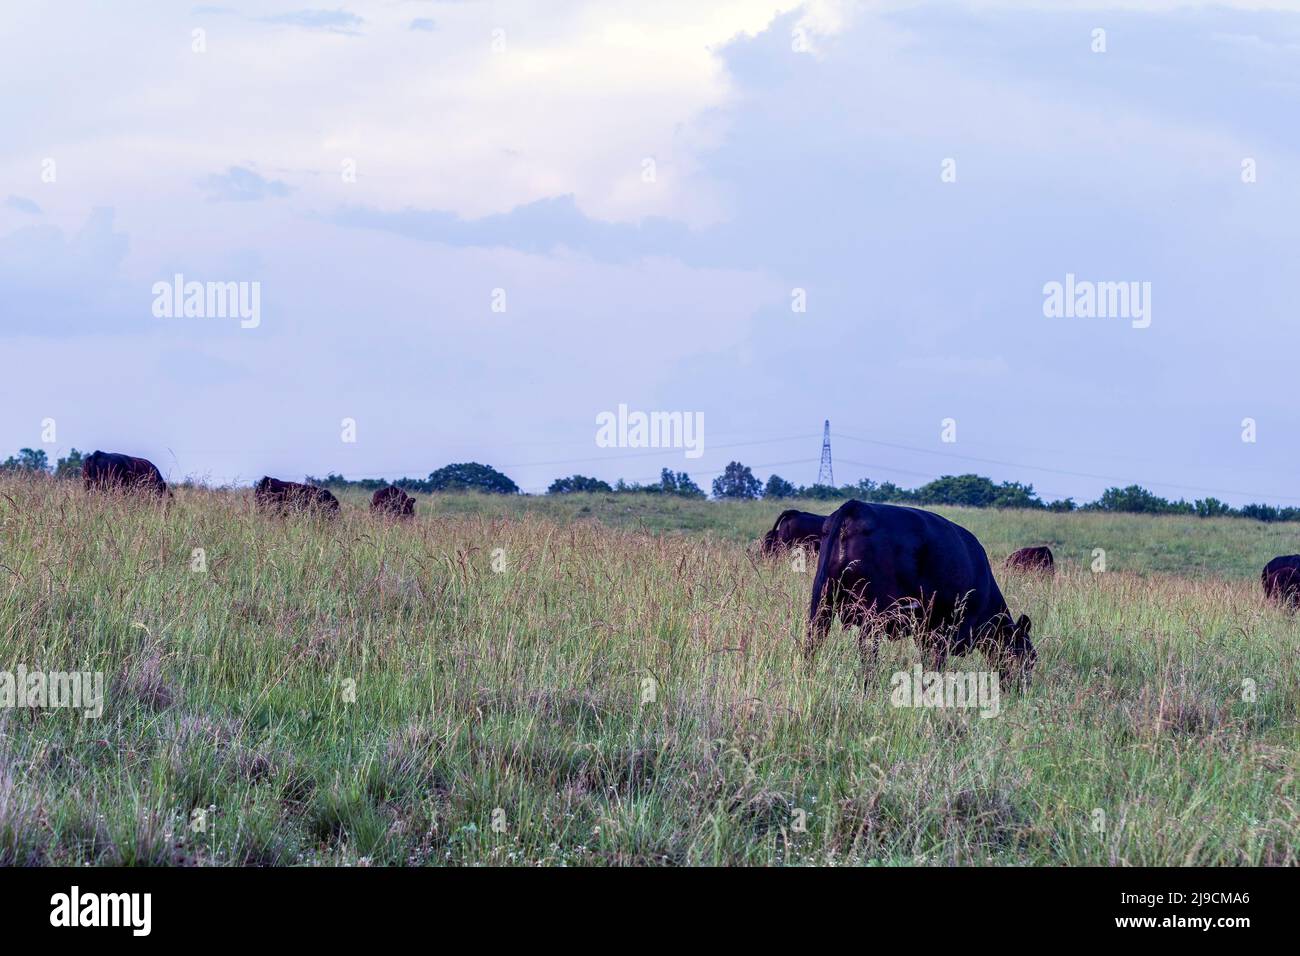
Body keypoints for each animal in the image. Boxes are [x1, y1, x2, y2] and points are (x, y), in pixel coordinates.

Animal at [807, 500, 1037, 689]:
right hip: (872, 615)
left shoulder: (925, 631)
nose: (1022, 690)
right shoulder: (942, 629)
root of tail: (857, 505)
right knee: (868, 653)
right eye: (1030, 657)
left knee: (814, 640)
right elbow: (936, 664)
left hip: (821, 605)